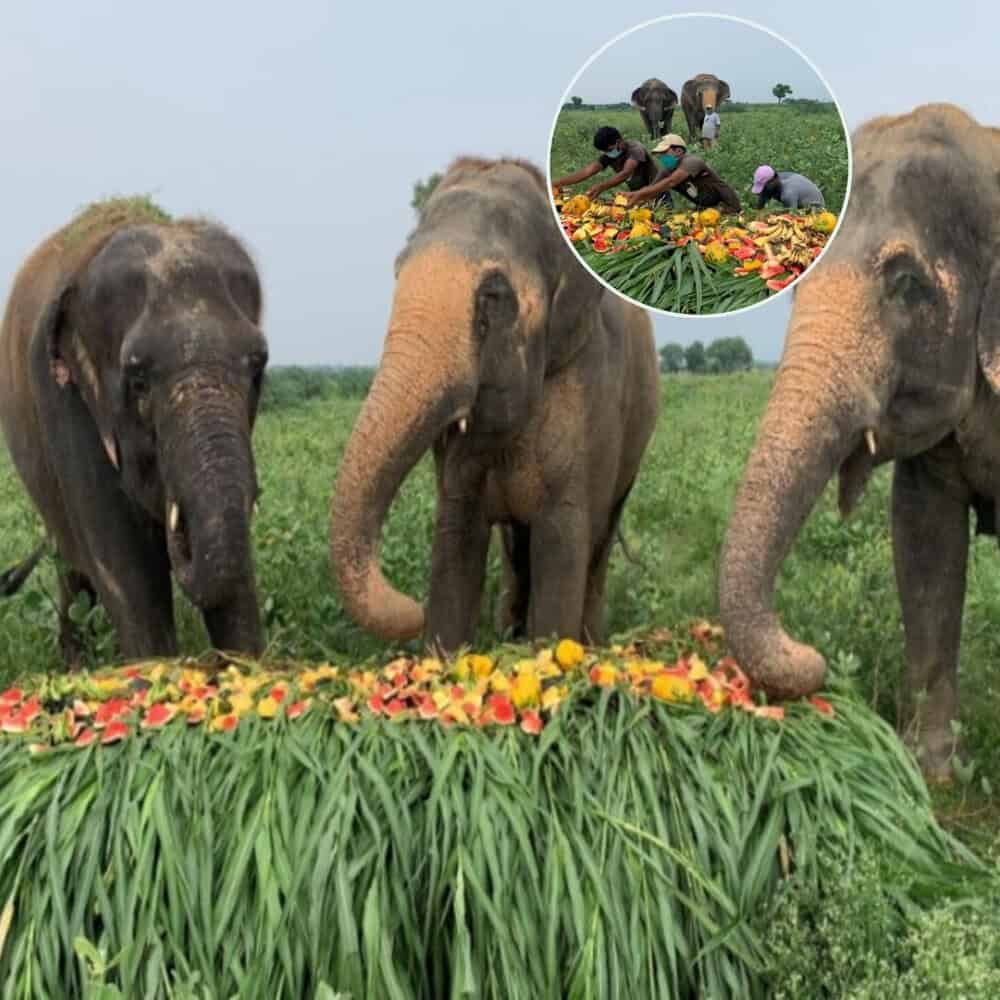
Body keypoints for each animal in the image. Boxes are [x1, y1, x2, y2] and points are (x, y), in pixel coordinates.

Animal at [0, 201, 269, 664]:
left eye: (257, 367)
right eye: (138, 379)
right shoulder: (64, 400)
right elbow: (128, 571)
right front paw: (154, 668)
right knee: (71, 562)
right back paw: (77, 661)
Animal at [330, 156, 659, 653]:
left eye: (492, 296)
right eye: (397, 272)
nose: (410, 608)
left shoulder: (588, 390)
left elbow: (563, 544)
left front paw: (553, 653)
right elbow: (455, 538)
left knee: (597, 544)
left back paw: (588, 642)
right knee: (515, 547)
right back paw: (511, 634)